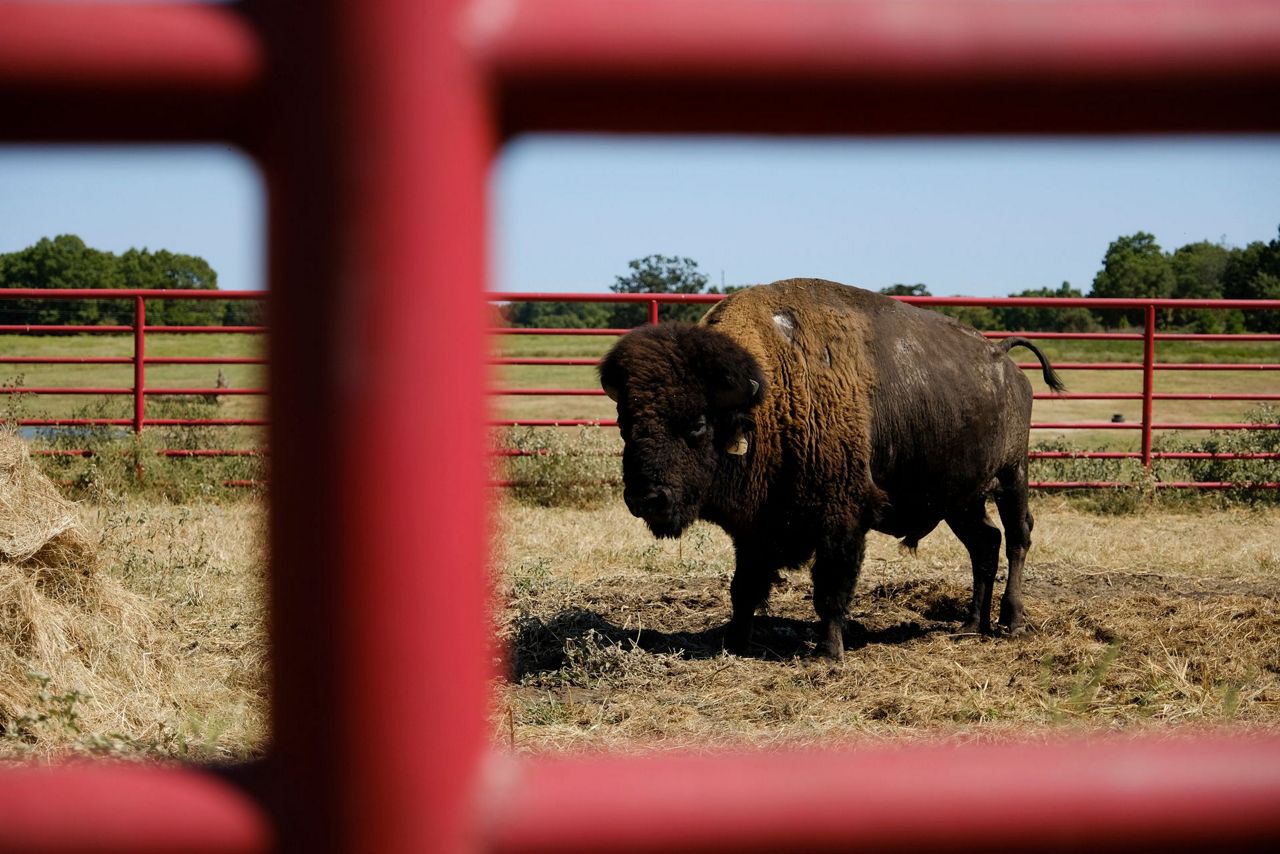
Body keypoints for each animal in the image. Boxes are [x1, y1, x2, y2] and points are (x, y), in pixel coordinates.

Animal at [599, 278, 1064, 659]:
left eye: (697, 423)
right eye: (624, 421)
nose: (646, 498)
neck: (770, 394)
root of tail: (1003, 360)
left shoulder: (842, 518)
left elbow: (830, 588)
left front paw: (829, 652)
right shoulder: (754, 528)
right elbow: (744, 587)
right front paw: (733, 642)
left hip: (1012, 474)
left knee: (1018, 536)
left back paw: (1010, 621)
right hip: (959, 499)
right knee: (985, 543)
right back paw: (970, 626)